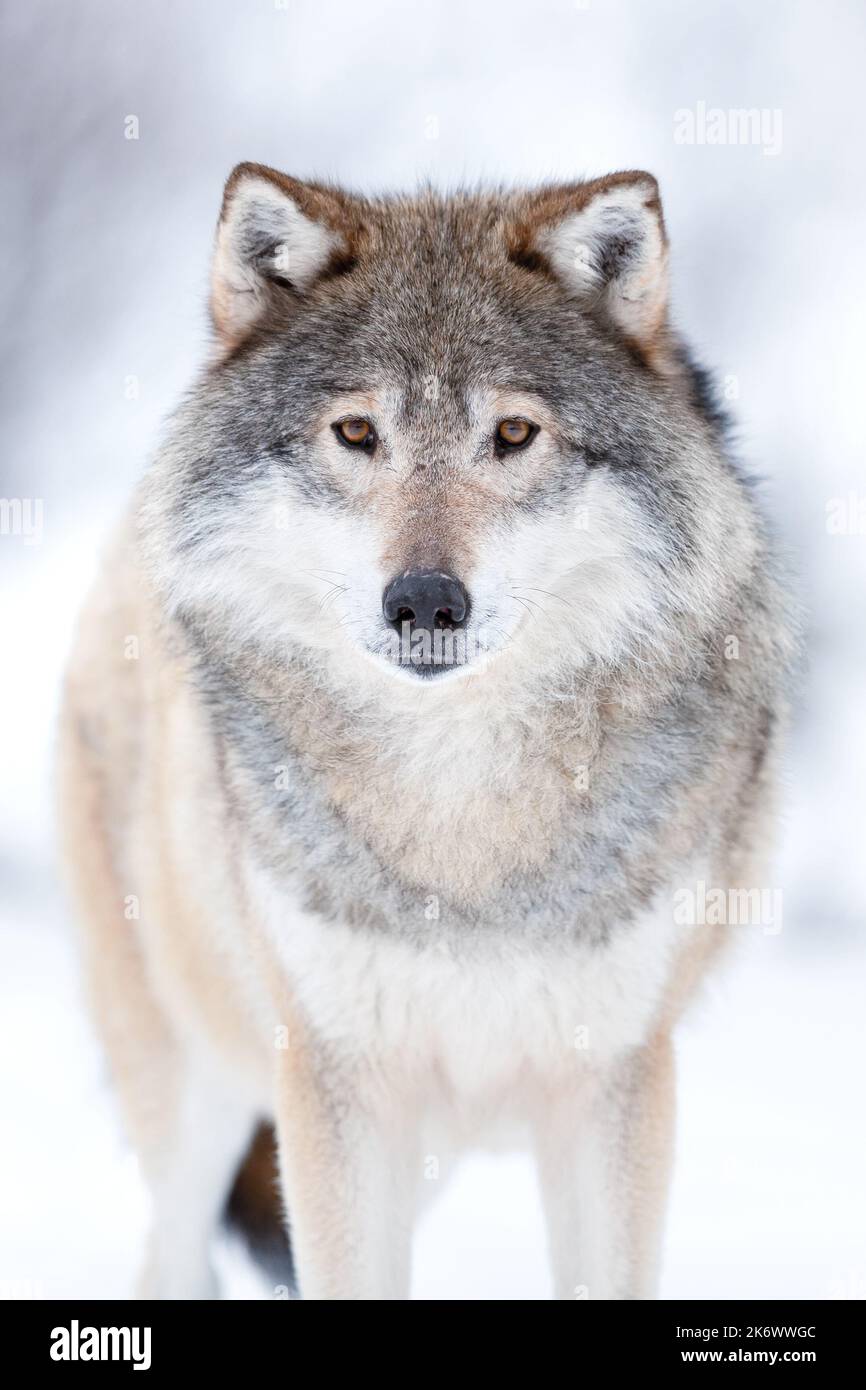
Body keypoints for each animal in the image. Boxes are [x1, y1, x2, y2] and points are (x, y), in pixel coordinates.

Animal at [57, 164, 793, 1300]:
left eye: (513, 435)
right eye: (358, 434)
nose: (425, 602)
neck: (461, 819)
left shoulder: (615, 1082)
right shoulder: (337, 1088)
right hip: (199, 1083)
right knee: (168, 1252)